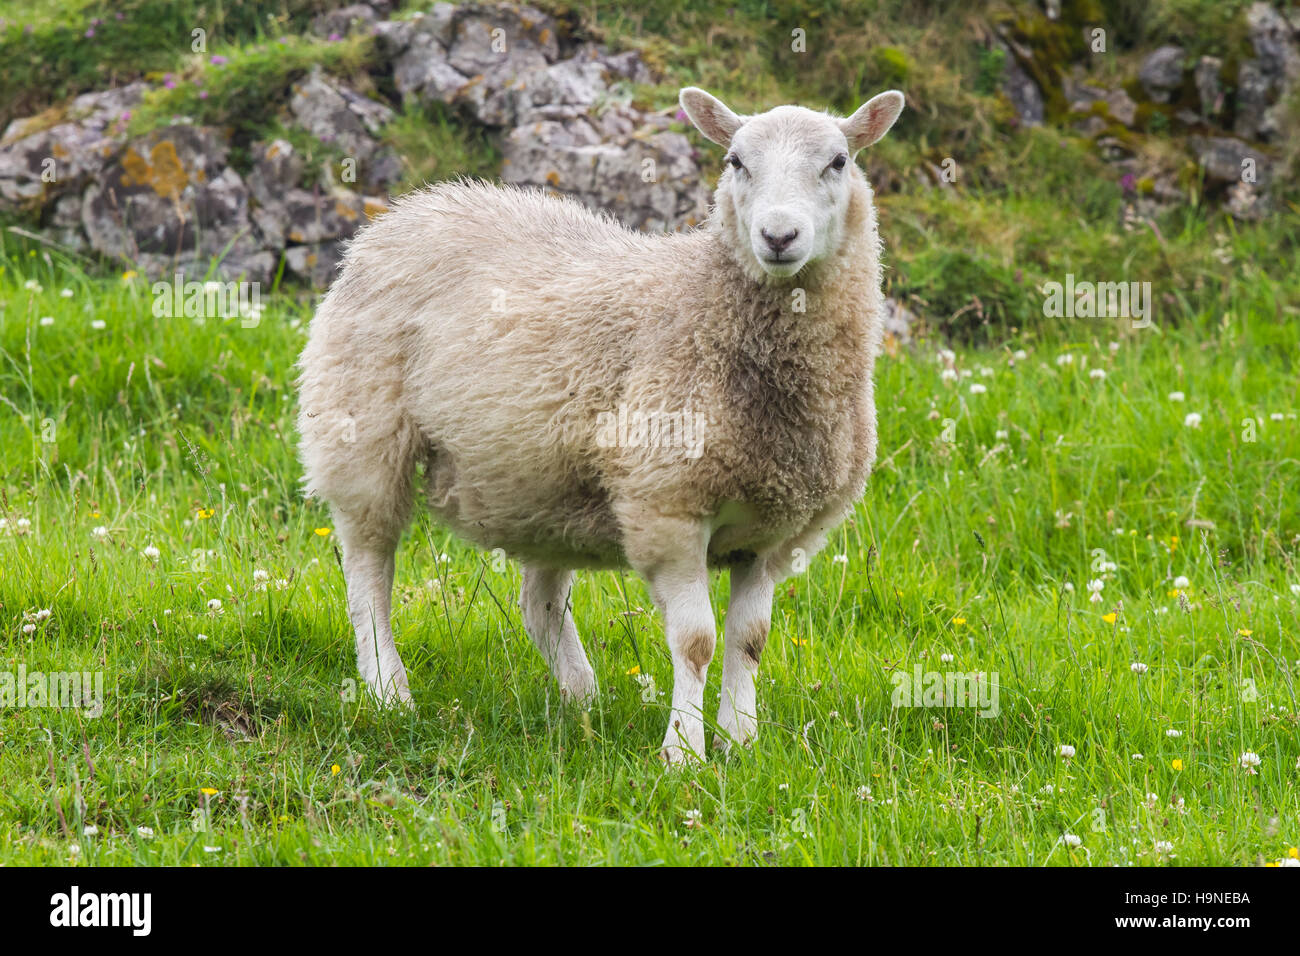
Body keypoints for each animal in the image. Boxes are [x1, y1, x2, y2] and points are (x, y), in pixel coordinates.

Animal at [296, 85, 905, 762]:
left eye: (838, 162)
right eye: (736, 162)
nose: (778, 236)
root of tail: (412, 206)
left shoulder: (773, 534)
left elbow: (750, 639)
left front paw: (740, 743)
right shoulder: (667, 507)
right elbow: (696, 641)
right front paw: (683, 753)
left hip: (538, 483)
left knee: (538, 605)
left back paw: (581, 698)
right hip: (362, 431)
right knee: (367, 570)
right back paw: (388, 690)